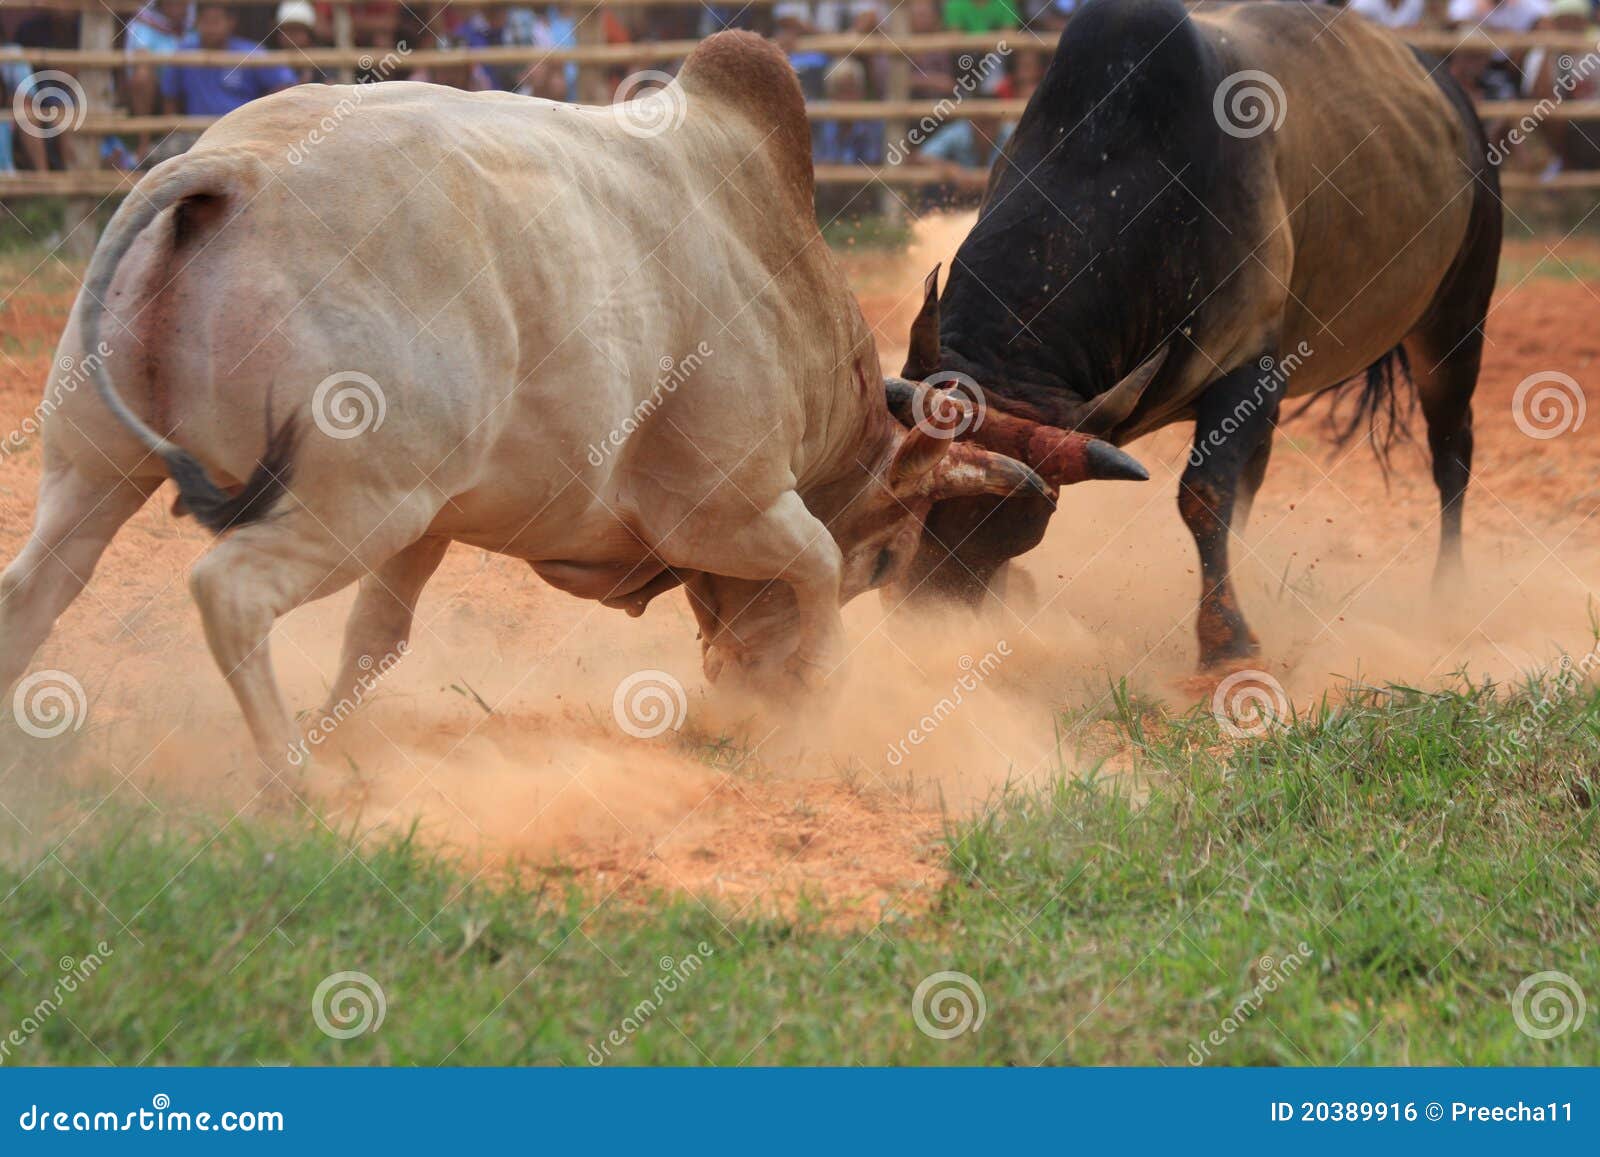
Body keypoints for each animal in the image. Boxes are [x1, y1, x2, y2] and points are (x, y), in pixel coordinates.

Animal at [0, 32, 1145, 775]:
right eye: (888, 559)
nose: (750, 685)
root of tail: (232, 171)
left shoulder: (434, 524)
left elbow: (377, 636)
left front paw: (355, 735)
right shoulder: (728, 508)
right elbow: (815, 564)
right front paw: (819, 704)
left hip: (100, 468)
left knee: (33, 592)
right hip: (343, 500)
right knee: (228, 592)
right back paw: (292, 781)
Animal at [896, 0, 1502, 668]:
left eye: (1012, 519)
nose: (921, 617)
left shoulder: (1246, 368)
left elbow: (1204, 496)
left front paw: (1226, 641)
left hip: (1455, 321)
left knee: (1451, 453)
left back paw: (1448, 596)